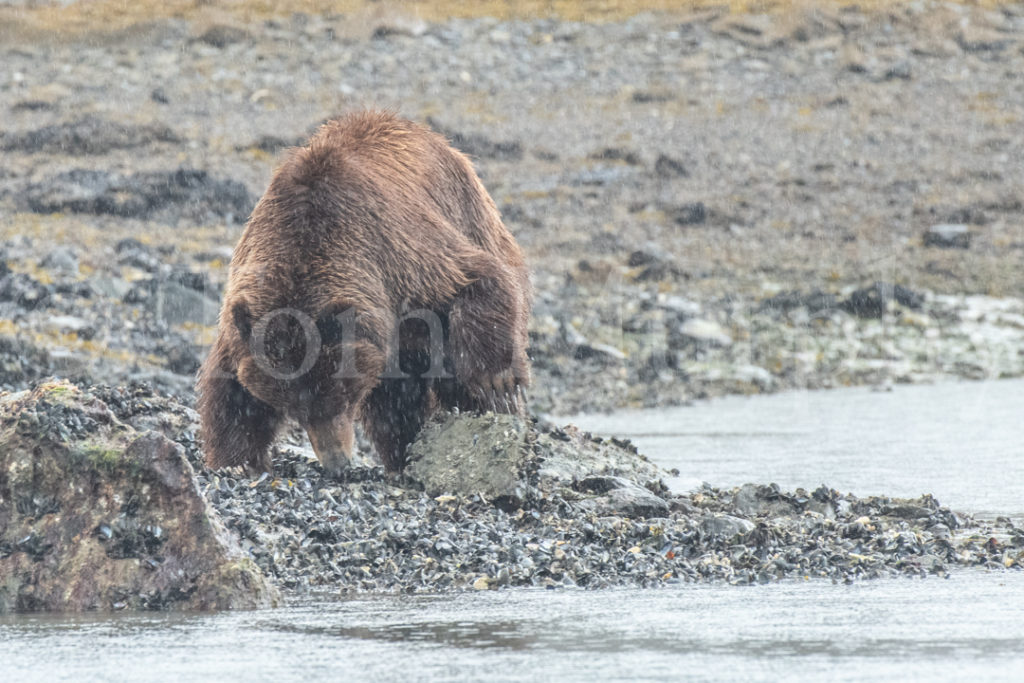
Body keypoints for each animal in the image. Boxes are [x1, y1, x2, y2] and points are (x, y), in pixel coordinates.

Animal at [197, 110, 530, 476]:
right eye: (293, 406)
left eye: (339, 394)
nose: (337, 462)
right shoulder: (245, 316)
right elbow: (231, 390)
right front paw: (237, 462)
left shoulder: (402, 257)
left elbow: (476, 279)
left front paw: (494, 380)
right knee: (396, 400)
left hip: (471, 216)